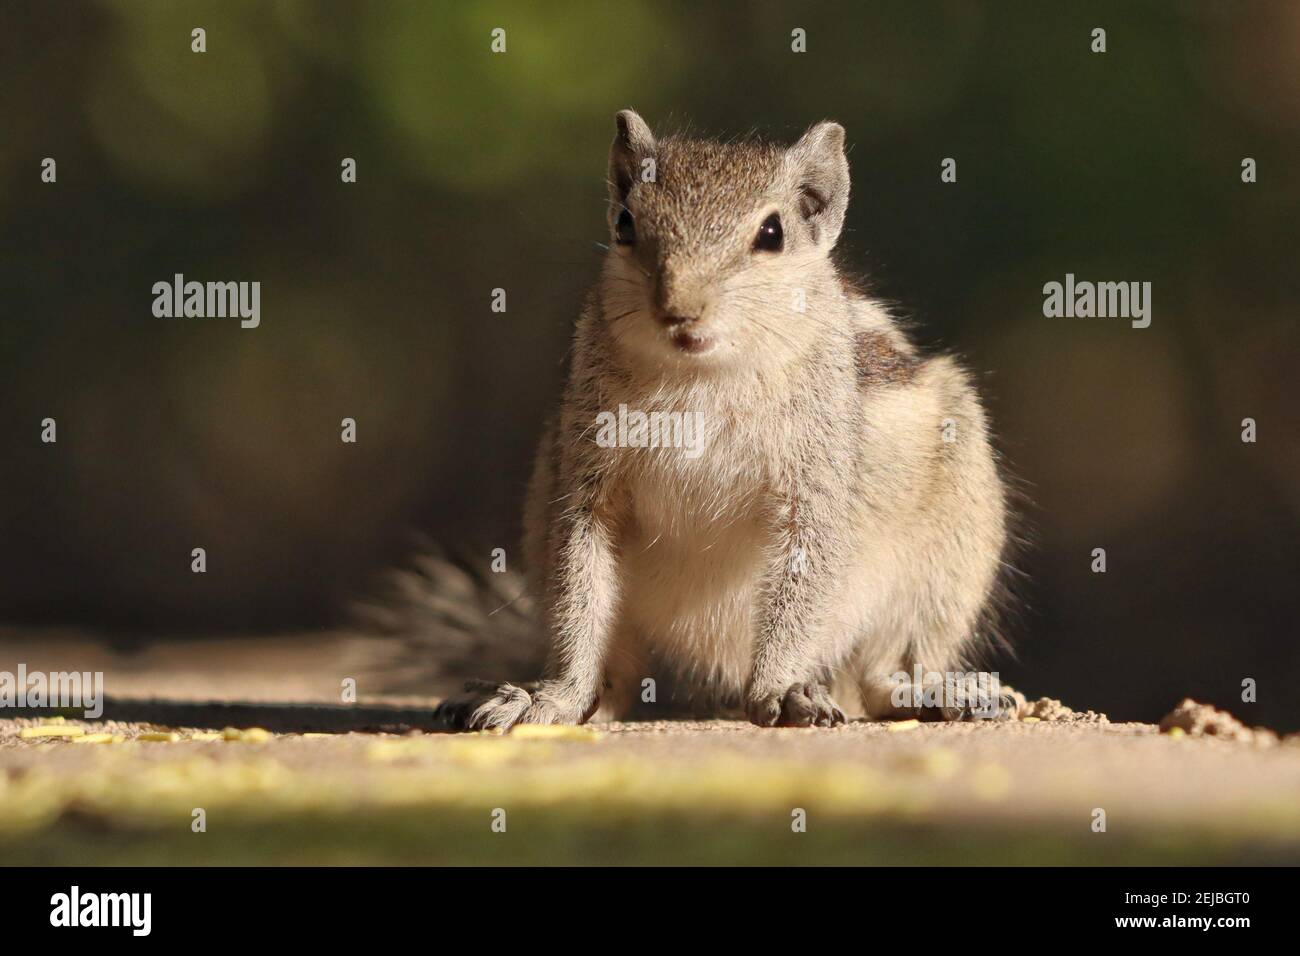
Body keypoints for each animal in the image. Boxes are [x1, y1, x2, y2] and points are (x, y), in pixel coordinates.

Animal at [432, 110, 1012, 729]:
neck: (700, 376)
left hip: (949, 553)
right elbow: (578, 593)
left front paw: (780, 688)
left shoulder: (816, 482)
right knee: (619, 676)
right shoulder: (585, 487)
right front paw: (556, 696)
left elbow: (805, 579)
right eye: (626, 223)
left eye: (772, 234)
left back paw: (932, 691)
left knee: (884, 672)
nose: (679, 309)